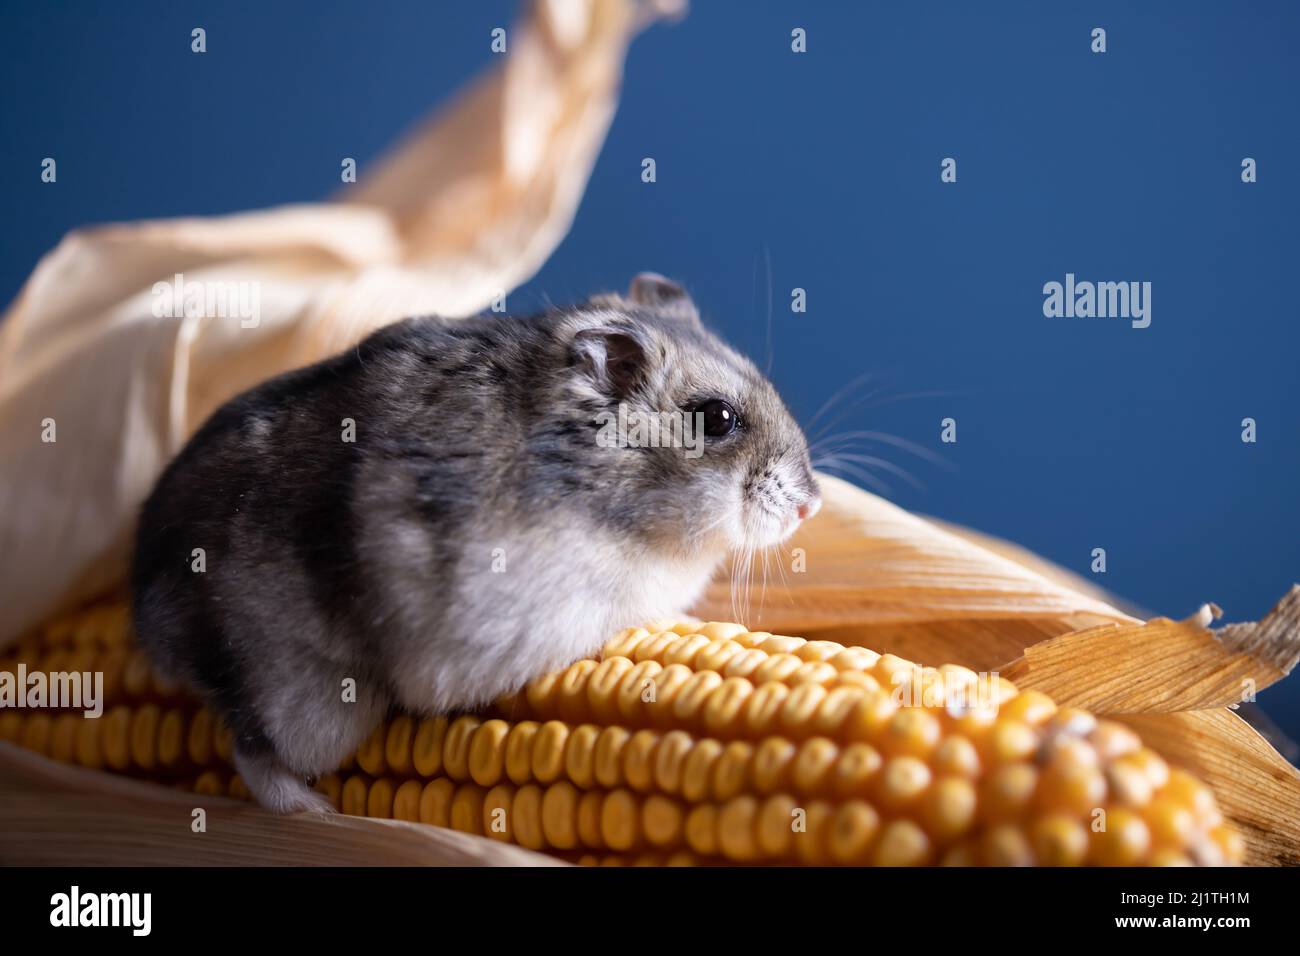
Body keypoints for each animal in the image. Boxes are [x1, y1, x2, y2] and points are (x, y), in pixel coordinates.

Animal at [131, 274, 821, 812]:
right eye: (719, 419)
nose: (812, 505)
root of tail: (145, 613)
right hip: (310, 701)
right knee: (252, 749)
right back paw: (314, 811)